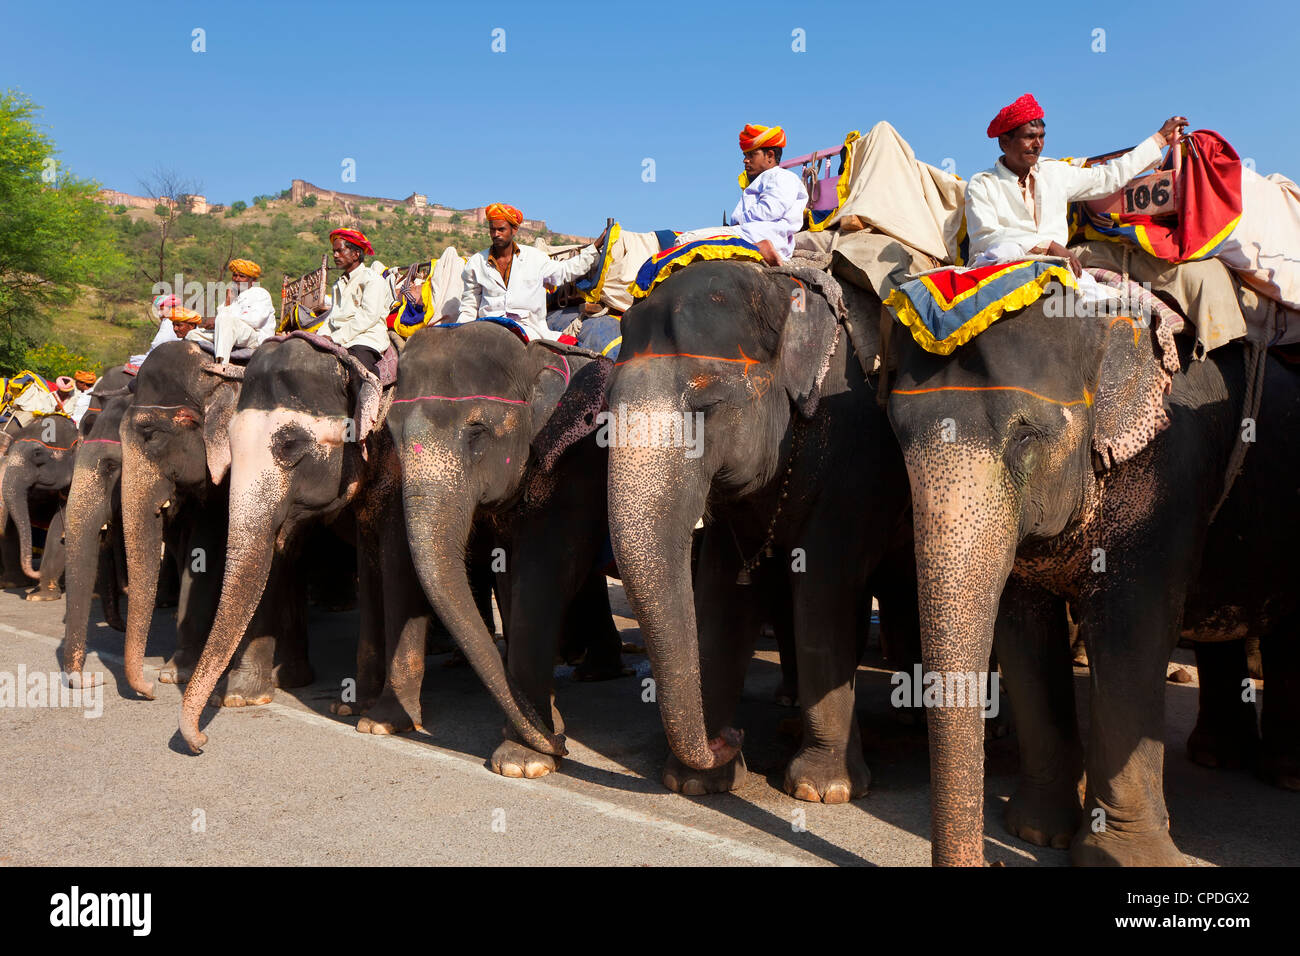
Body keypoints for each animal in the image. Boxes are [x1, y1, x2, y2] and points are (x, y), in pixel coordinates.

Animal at [386, 321, 624, 777]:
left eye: (477, 431)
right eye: (390, 432)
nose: (563, 747)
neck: (530, 356)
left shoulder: (575, 459)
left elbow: (545, 569)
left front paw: (523, 761)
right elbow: (508, 573)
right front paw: (538, 732)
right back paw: (594, 673)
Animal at [606, 260, 916, 803]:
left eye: (708, 406)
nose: (732, 737)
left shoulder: (856, 460)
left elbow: (824, 593)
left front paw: (822, 791)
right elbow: (722, 596)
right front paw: (696, 782)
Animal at [886, 296, 1300, 865]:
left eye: (1026, 438)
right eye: (897, 436)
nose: (989, 859)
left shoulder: (1164, 478)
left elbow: (1129, 632)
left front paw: (1126, 856)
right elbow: (1023, 630)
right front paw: (1038, 833)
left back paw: (1281, 777)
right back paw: (1222, 757)